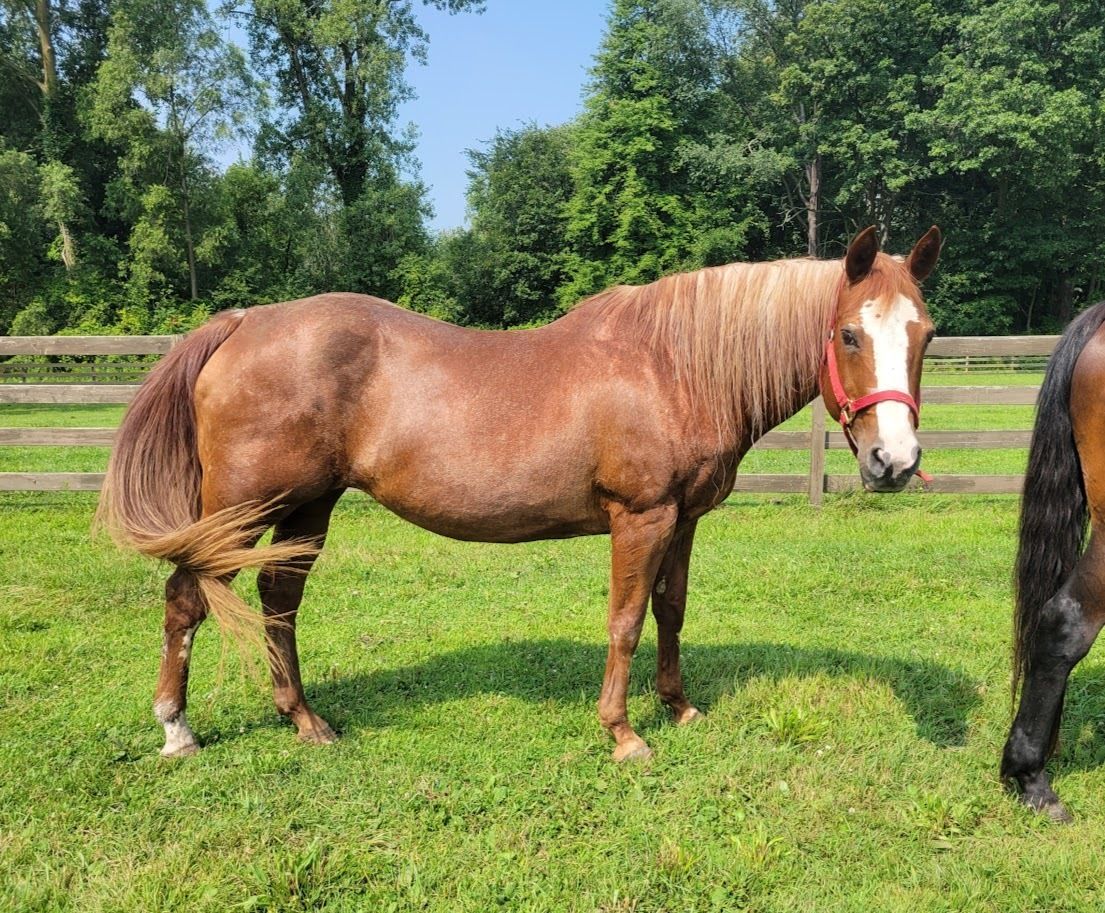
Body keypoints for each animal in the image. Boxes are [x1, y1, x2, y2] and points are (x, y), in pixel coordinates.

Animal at [96, 225, 941, 762]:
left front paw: (678, 706)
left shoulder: (684, 519)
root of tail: (244, 323)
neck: (672, 363)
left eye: (925, 334)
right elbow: (625, 622)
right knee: (186, 598)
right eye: (849, 335)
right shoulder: (640, 518)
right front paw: (623, 733)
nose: (893, 461)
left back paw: (304, 720)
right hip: (239, 510)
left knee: (278, 600)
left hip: (307, 506)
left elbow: (670, 610)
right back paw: (176, 730)